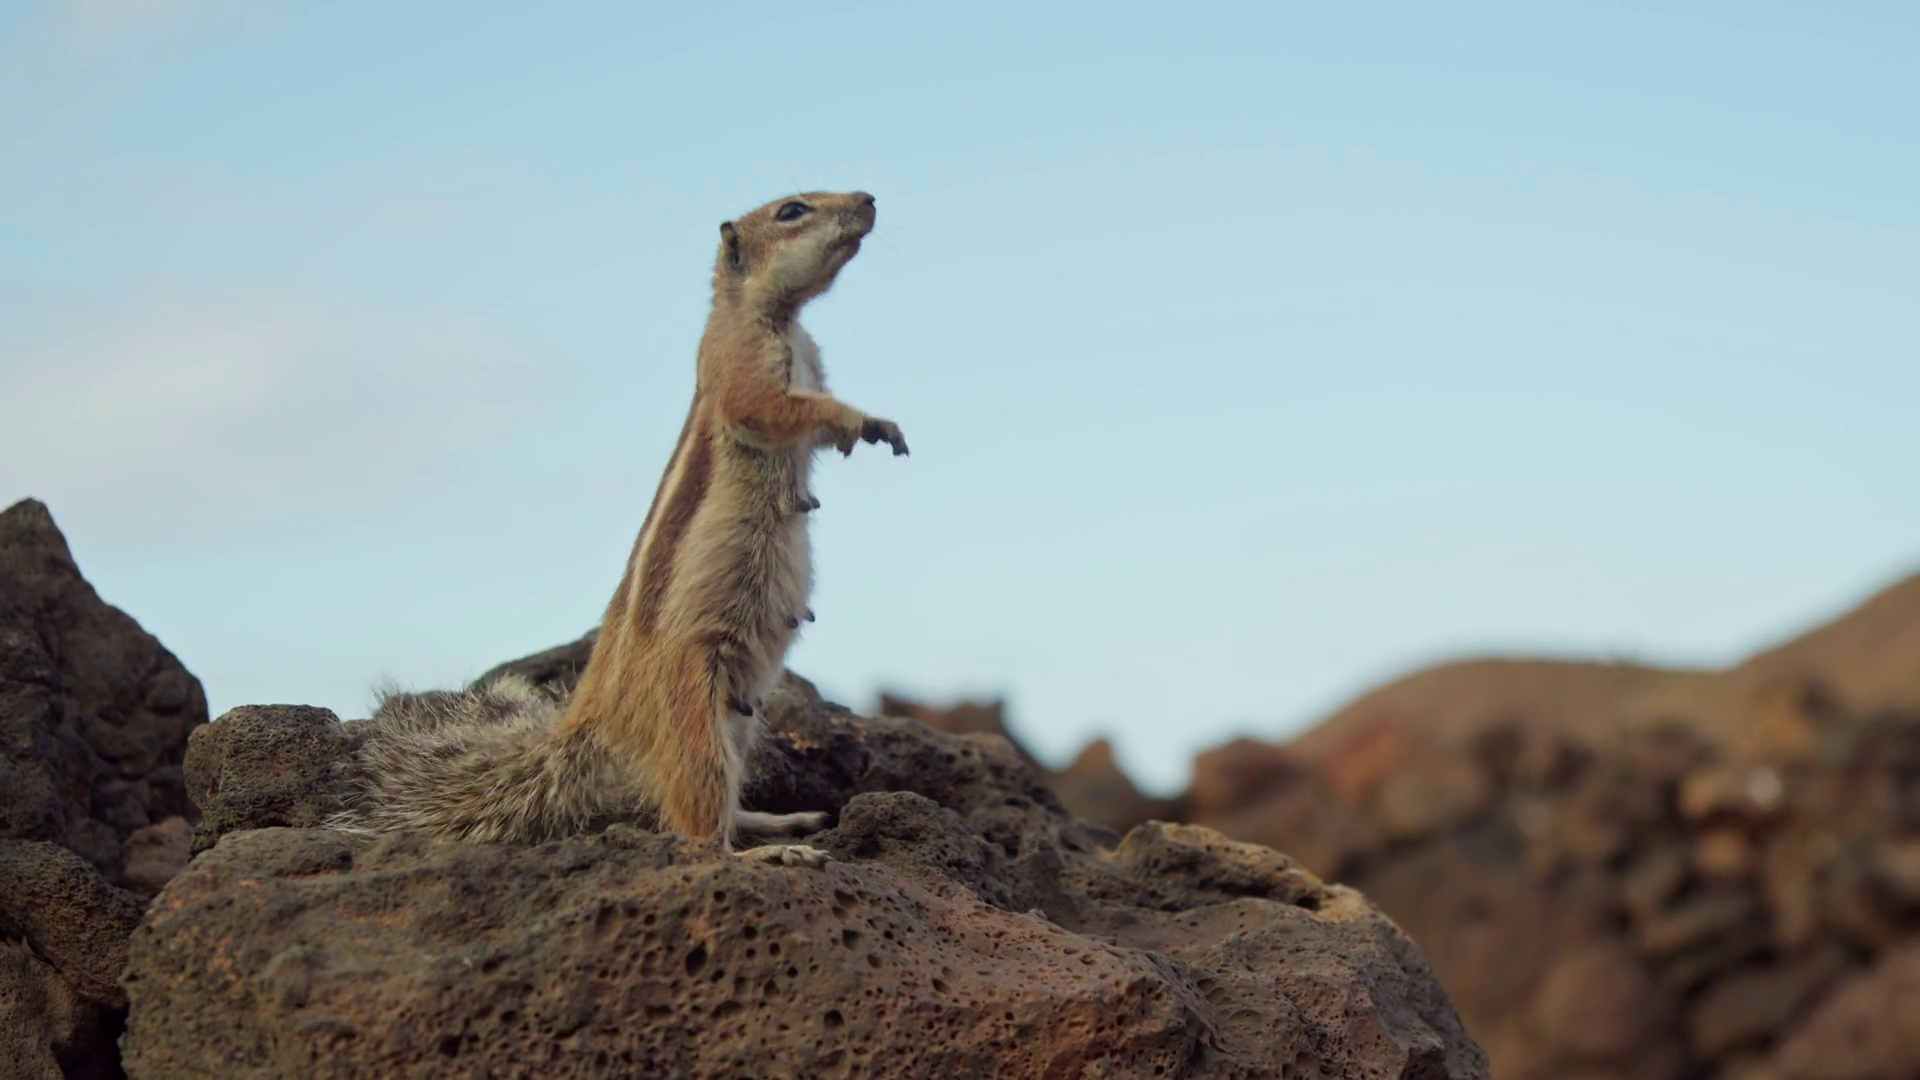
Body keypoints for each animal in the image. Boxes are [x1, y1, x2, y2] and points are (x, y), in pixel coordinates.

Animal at [329, 191, 908, 866]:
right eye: (792, 210)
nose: (869, 199)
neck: (778, 316)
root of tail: (596, 715)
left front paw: (868, 427)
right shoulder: (740, 368)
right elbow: (770, 407)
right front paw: (860, 419)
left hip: (741, 719)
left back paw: (772, 820)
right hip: (692, 712)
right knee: (695, 827)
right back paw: (759, 853)